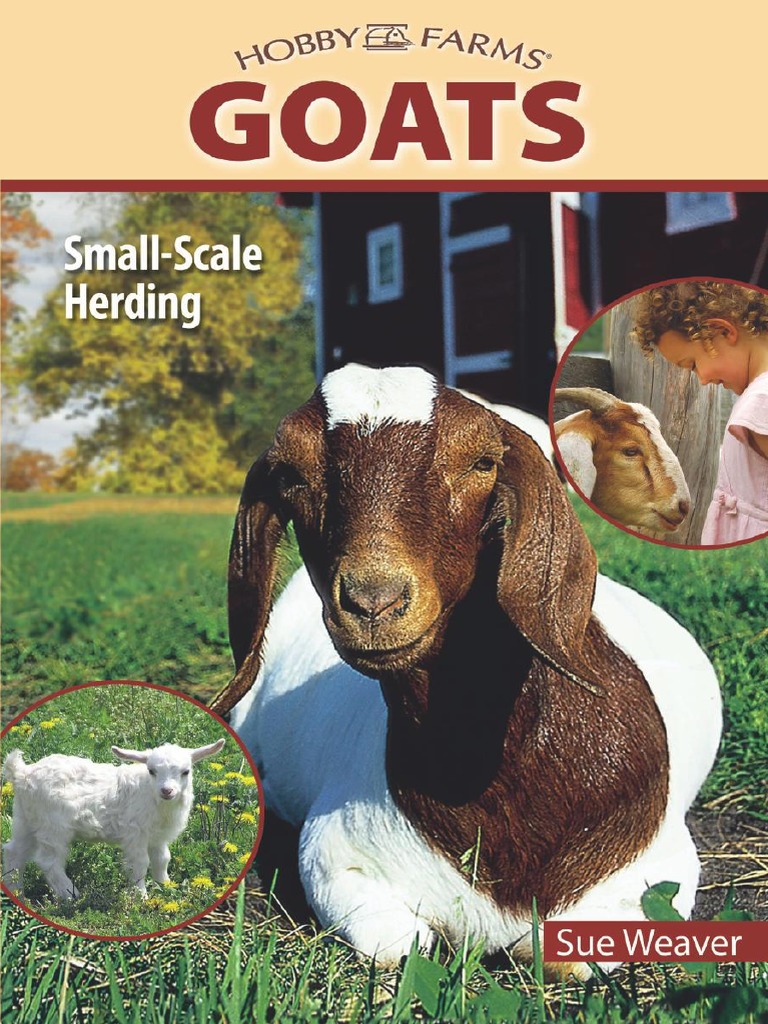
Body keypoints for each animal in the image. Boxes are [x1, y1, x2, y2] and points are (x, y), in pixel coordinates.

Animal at [2, 738, 225, 900]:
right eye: (152, 771)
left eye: (185, 771)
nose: (167, 791)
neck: (152, 796)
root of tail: (22, 774)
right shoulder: (135, 833)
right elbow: (140, 864)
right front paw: (141, 898)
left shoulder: (158, 837)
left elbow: (163, 859)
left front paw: (166, 886)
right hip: (53, 826)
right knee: (48, 861)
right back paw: (70, 895)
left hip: (25, 819)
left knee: (14, 852)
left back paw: (16, 893)